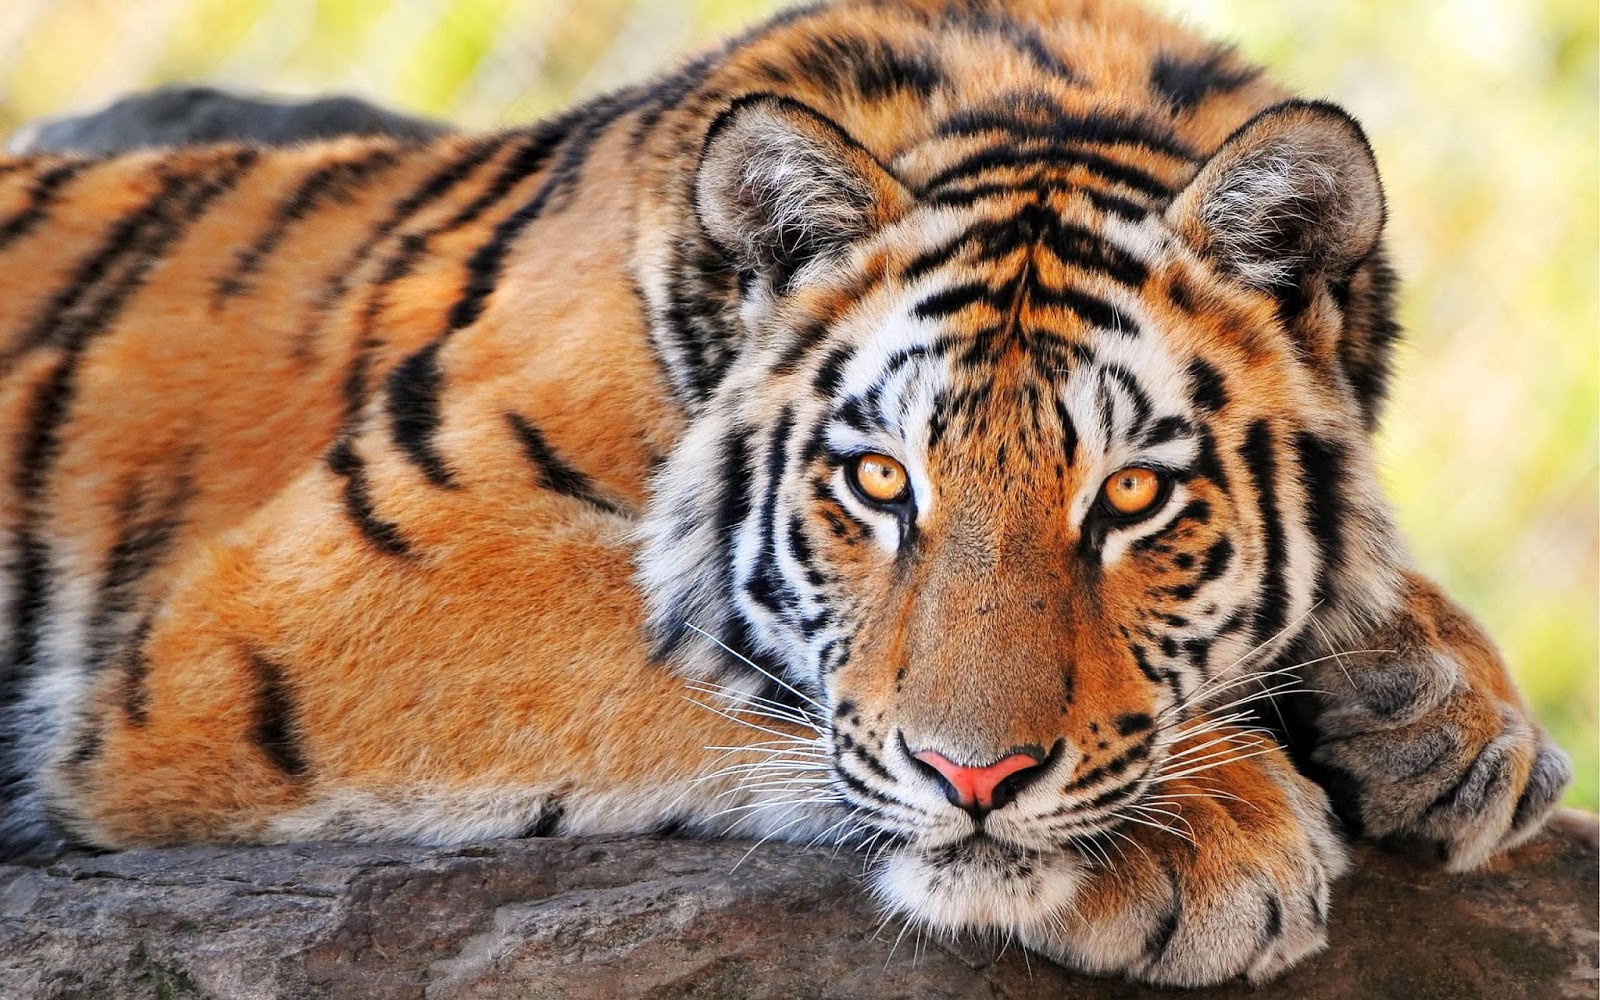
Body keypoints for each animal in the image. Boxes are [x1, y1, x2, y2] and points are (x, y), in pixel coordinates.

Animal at [0, 0, 1573, 987]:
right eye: (879, 481)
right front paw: (1209, 832)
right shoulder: (317, 597)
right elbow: (740, 673)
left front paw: (1445, 712)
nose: (977, 783)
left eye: (1131, 497)